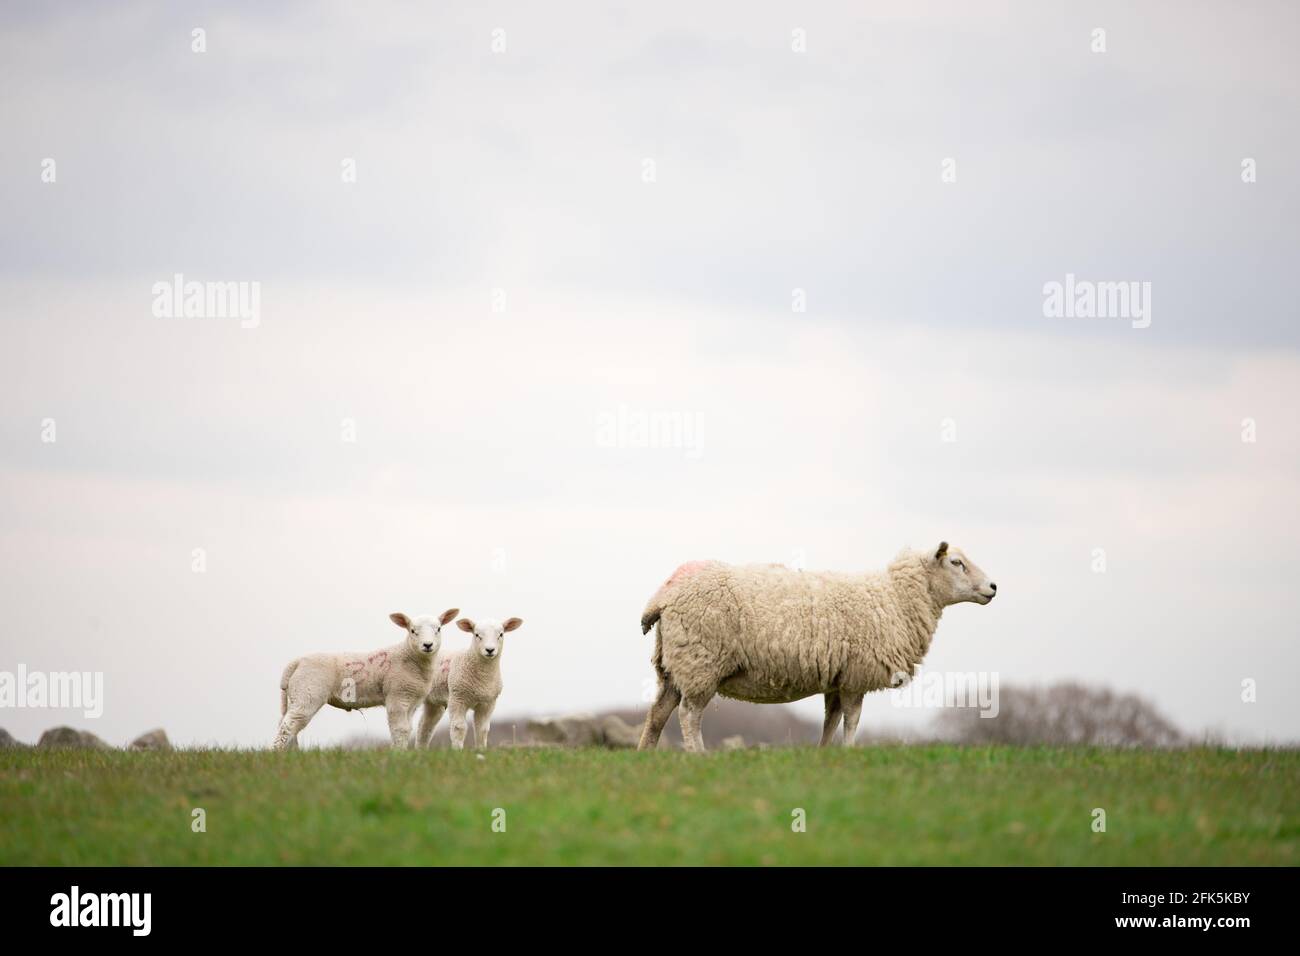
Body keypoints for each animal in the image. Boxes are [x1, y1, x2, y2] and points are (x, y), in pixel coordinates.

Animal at [273, 609, 459, 750]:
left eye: (438, 629)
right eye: (412, 631)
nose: (427, 645)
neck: (409, 657)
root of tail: (296, 662)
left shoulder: (411, 700)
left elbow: (408, 728)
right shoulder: (397, 696)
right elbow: (400, 729)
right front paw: (399, 754)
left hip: (299, 694)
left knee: (288, 725)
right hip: (308, 693)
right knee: (287, 727)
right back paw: (277, 754)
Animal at [415, 616, 522, 750]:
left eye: (501, 634)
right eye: (477, 635)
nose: (490, 650)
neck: (483, 679)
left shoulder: (488, 703)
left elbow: (482, 729)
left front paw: (481, 749)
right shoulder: (457, 698)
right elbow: (459, 727)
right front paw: (457, 750)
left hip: (433, 702)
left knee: (425, 726)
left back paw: (420, 750)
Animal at [636, 542, 997, 752]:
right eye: (956, 562)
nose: (993, 587)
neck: (894, 598)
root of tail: (666, 593)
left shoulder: (837, 678)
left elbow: (831, 721)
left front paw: (824, 754)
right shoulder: (855, 676)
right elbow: (852, 720)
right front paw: (849, 752)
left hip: (673, 665)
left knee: (658, 713)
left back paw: (646, 754)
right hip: (701, 661)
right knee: (689, 714)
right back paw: (699, 755)